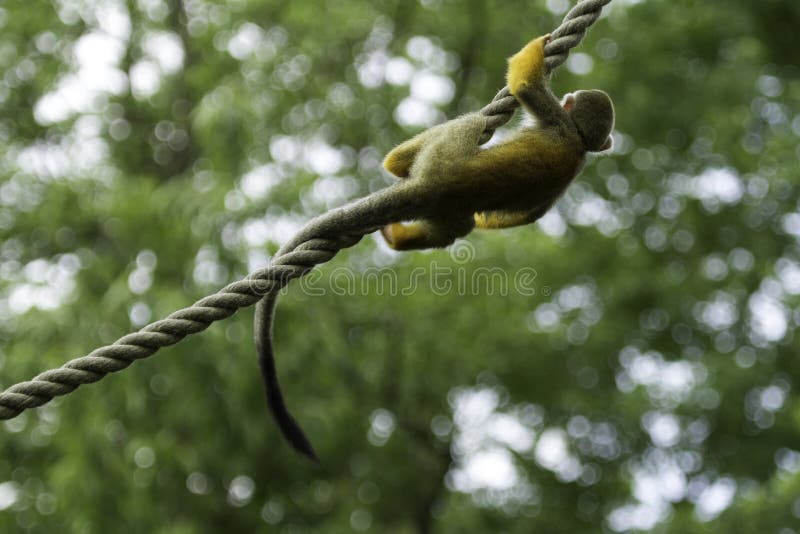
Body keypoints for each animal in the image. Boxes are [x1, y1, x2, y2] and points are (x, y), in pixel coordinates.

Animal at [257, 34, 614, 459]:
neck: (579, 142)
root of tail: (431, 188)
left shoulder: (556, 121)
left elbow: (526, 87)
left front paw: (535, 49)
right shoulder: (571, 167)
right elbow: (531, 215)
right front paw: (492, 221)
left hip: (441, 156)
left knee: (470, 124)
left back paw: (396, 164)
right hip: (448, 211)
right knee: (452, 229)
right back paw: (403, 235)